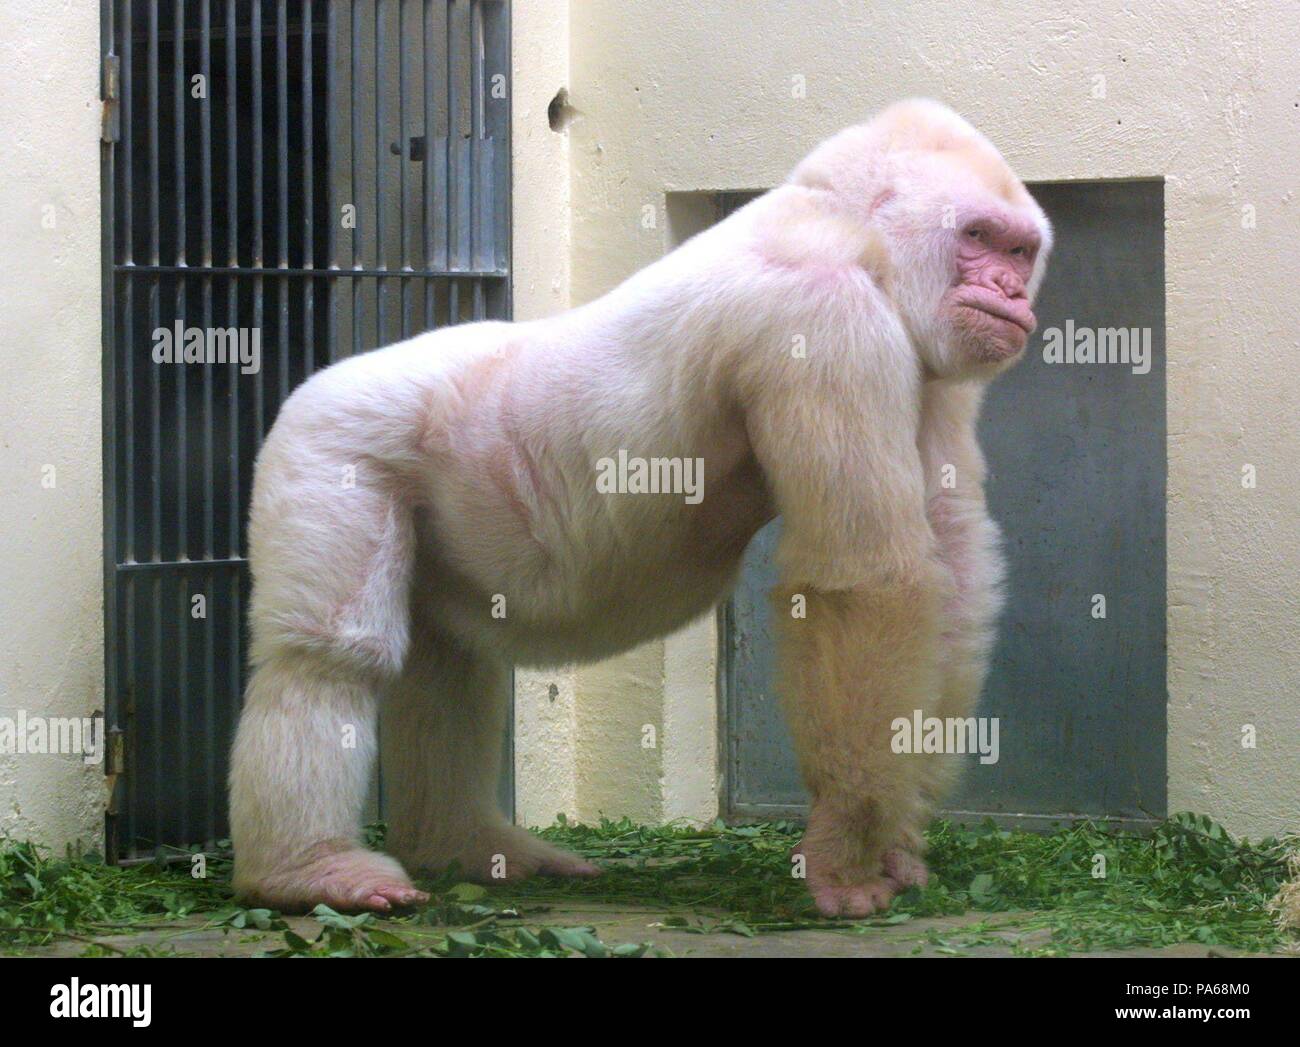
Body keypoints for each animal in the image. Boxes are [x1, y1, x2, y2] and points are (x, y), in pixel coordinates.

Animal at [228, 98, 1051, 918]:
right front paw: (846, 850)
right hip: (330, 439)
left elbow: (953, 570)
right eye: (979, 238)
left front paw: (897, 837)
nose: (1012, 293)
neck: (848, 224)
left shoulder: (933, 358)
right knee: (328, 660)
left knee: (450, 667)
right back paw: (306, 868)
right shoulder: (824, 316)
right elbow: (866, 579)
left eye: (1020, 250)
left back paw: (462, 844)